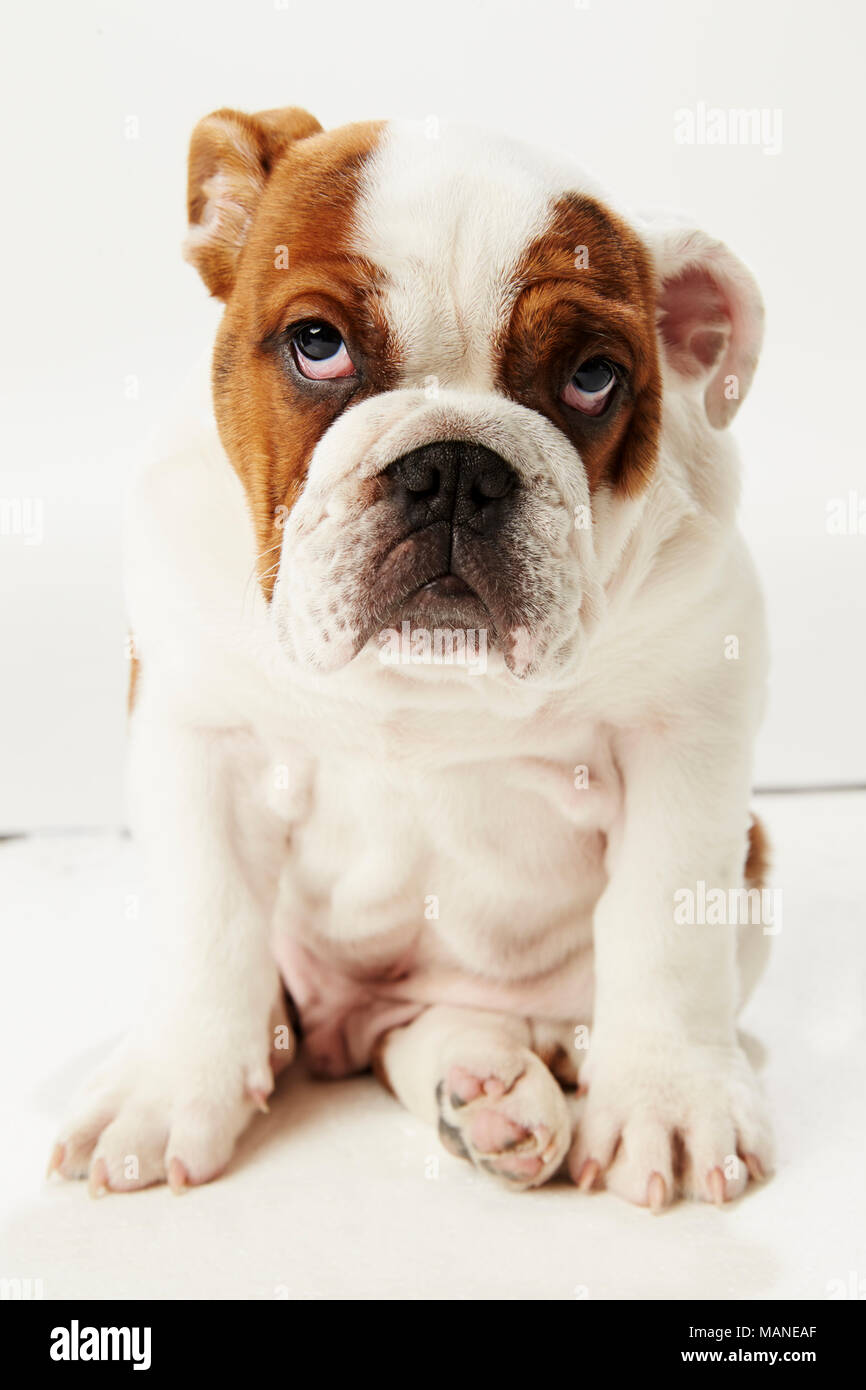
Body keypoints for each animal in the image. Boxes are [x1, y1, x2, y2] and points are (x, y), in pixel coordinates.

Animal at [50, 105, 778, 1206]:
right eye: (317, 346)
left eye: (592, 378)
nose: (455, 466)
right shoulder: (197, 734)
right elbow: (205, 917)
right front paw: (171, 1081)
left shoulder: (685, 733)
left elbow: (664, 924)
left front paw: (669, 1098)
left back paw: (509, 1075)